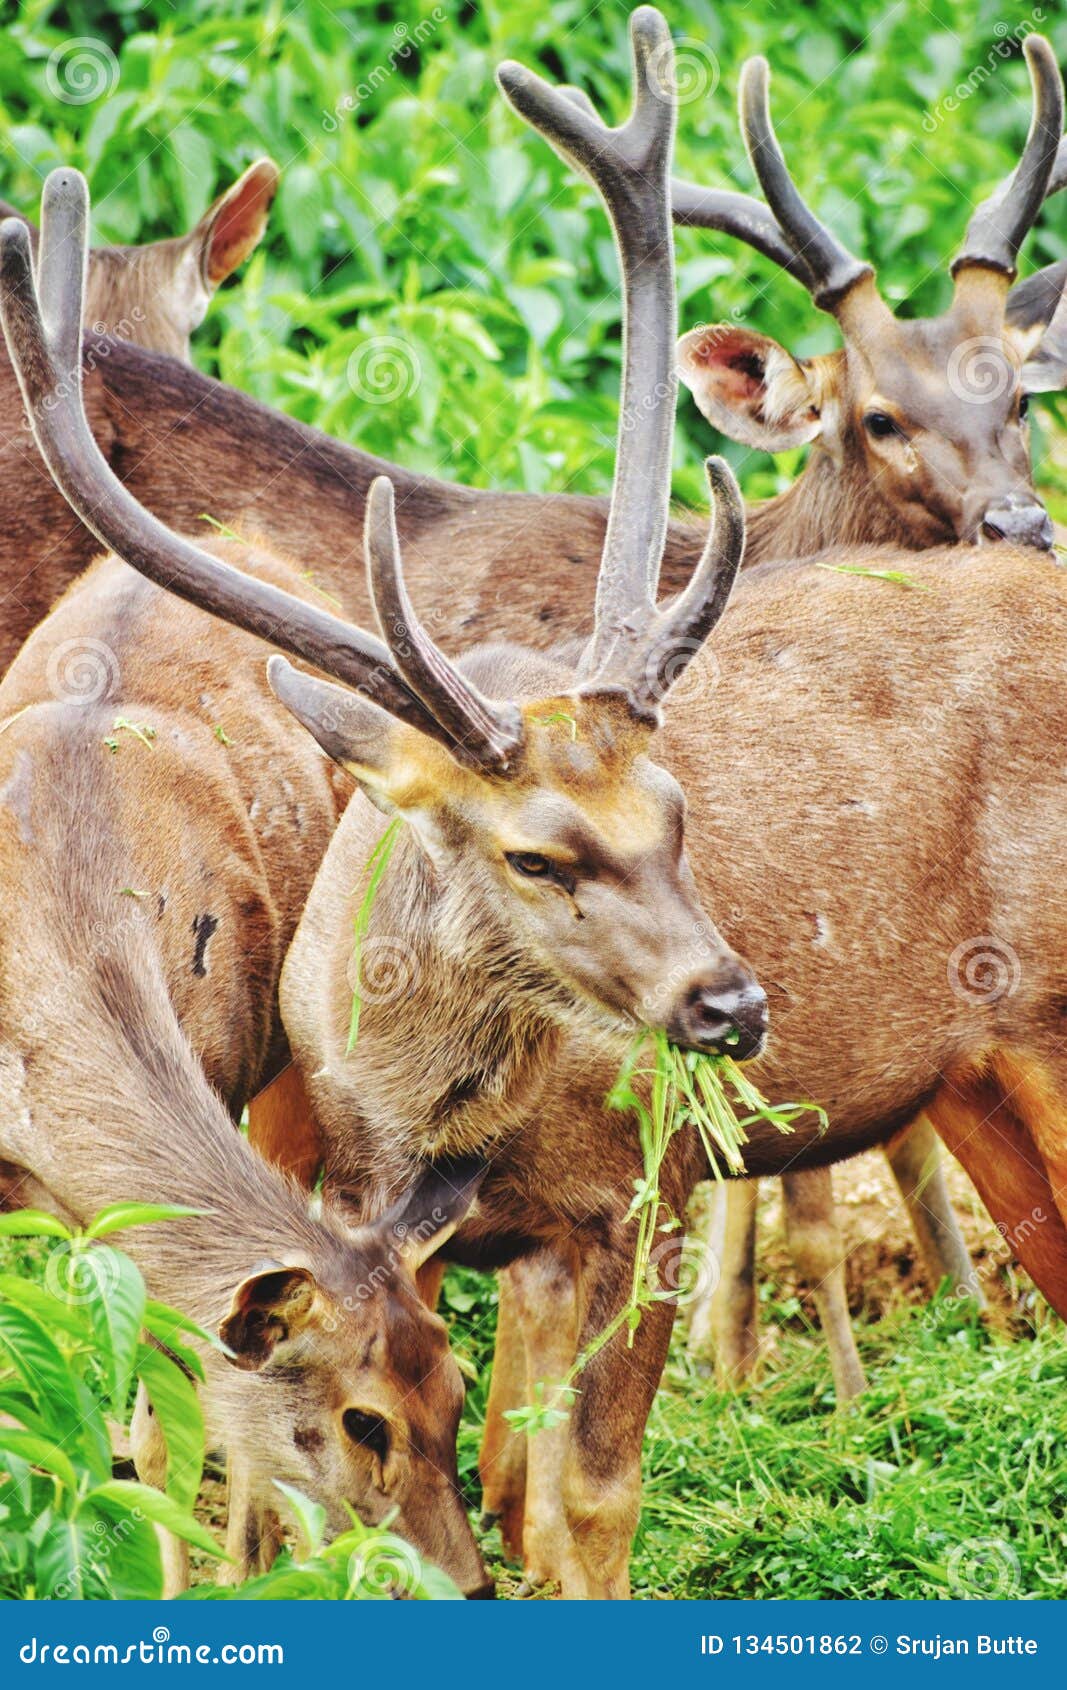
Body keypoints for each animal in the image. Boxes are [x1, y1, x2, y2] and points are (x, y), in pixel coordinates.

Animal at [9, 9, 1067, 1602]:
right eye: (533, 853)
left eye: (678, 807)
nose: (730, 1006)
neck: (442, 1106)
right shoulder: (402, 1206)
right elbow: (495, 1493)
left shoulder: (645, 1188)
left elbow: (583, 1506)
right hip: (980, 1072)